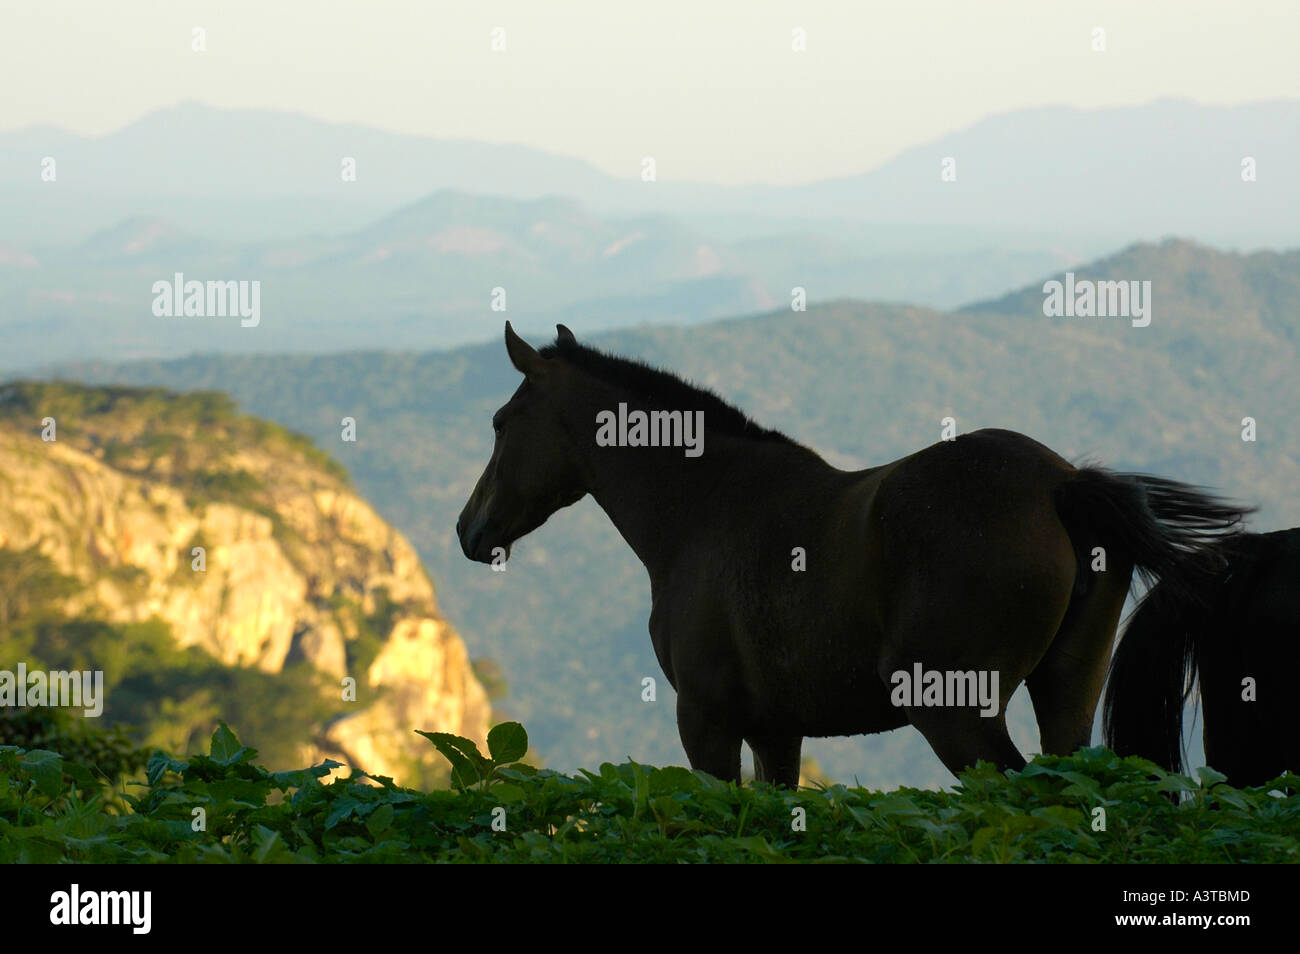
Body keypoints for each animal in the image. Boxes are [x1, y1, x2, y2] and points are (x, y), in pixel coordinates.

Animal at [457, 322, 1250, 786]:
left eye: (501, 421)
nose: (470, 531)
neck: (707, 507)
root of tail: (1060, 484)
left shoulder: (706, 722)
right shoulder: (776, 732)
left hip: (958, 716)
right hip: (1068, 692)